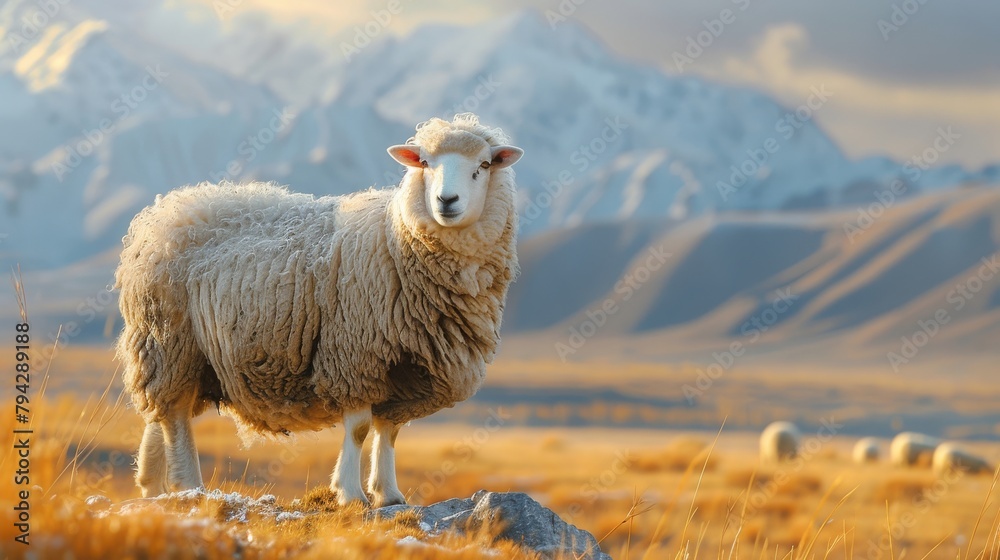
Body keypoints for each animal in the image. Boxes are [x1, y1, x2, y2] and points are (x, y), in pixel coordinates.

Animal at [115, 113, 524, 507]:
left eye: (483, 165)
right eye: (425, 163)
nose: (446, 200)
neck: (395, 237)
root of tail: (167, 209)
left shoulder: (403, 370)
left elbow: (389, 432)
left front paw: (388, 494)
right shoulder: (355, 355)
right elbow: (359, 429)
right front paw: (351, 494)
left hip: (183, 357)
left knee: (160, 414)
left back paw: (153, 488)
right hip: (169, 340)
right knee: (174, 417)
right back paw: (188, 485)